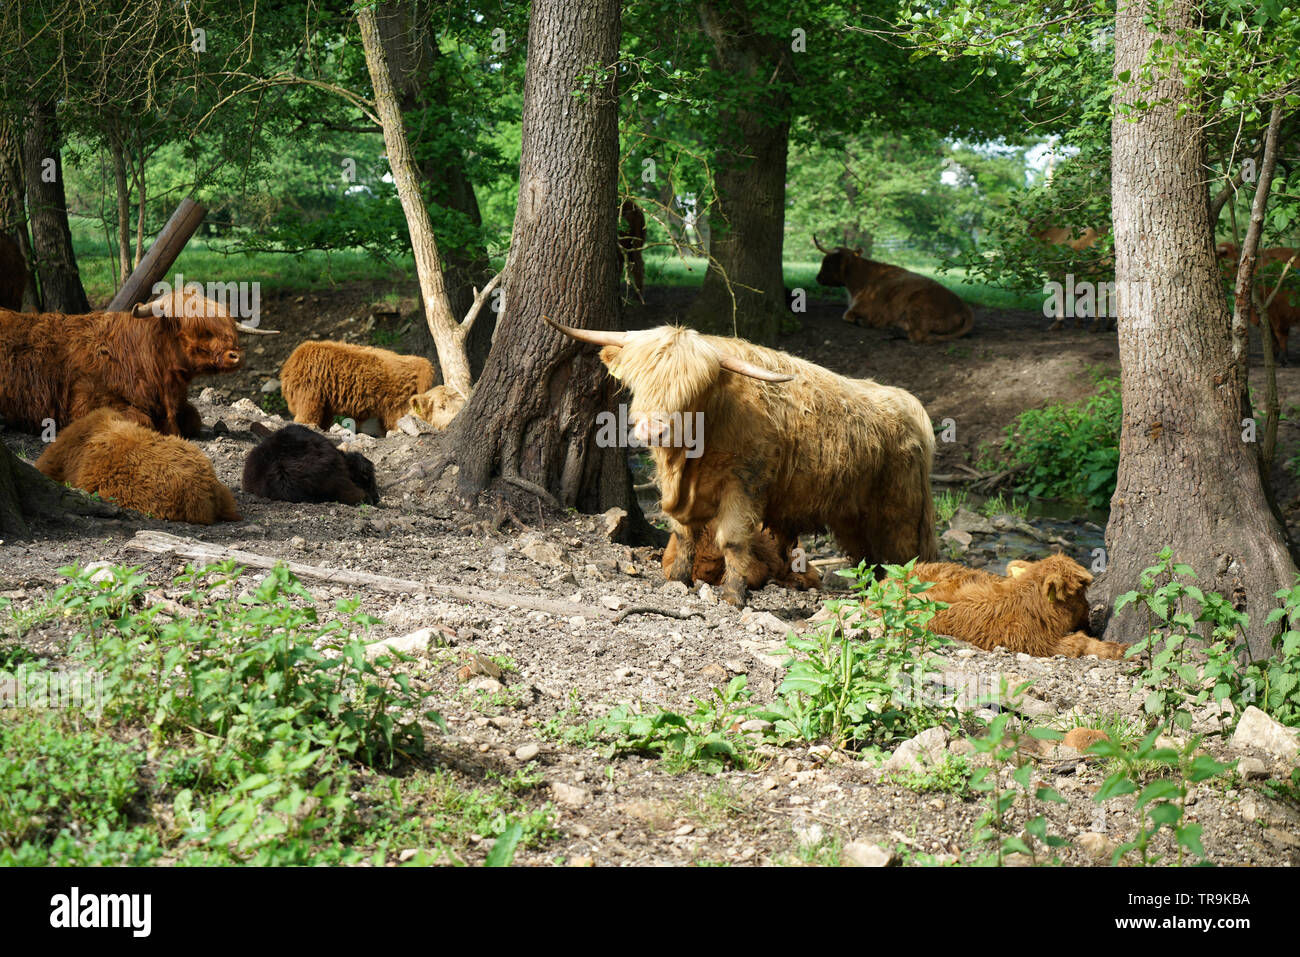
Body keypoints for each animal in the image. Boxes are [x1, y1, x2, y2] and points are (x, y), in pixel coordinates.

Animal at [813, 237, 973, 342]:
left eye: (828, 263)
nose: (817, 278)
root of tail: (964, 307)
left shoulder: (858, 309)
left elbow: (846, 315)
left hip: (918, 305)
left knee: (917, 336)